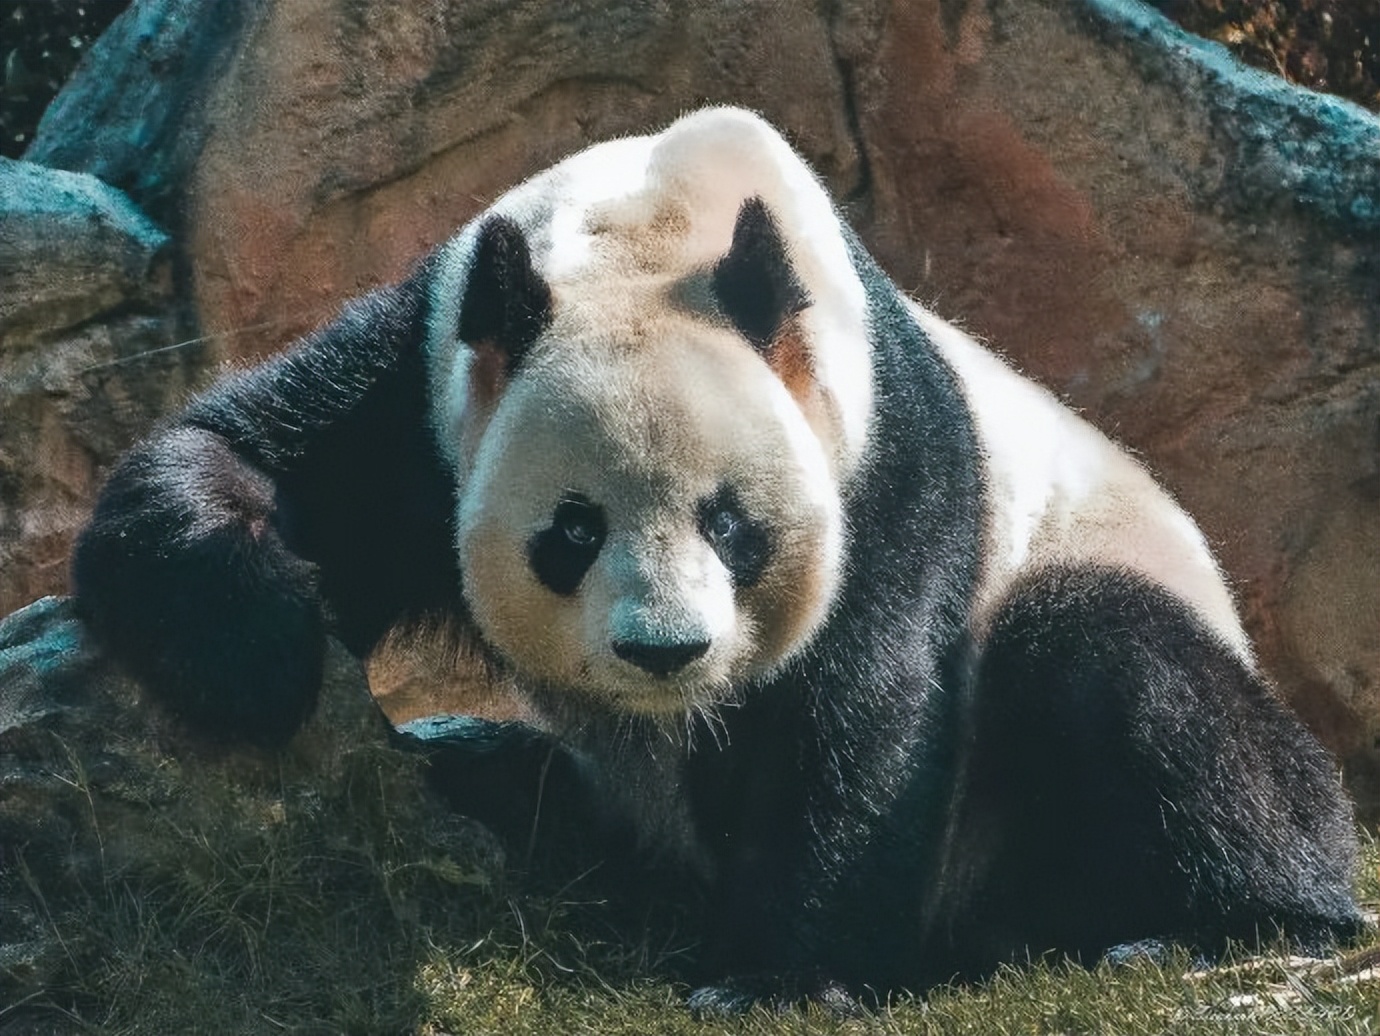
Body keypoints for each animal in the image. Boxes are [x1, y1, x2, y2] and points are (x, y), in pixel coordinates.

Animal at [72, 106, 1363, 1011]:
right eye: (573, 530)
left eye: (730, 525)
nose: (667, 651)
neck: (662, 220)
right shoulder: (427, 389)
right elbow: (248, 451)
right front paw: (247, 652)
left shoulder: (884, 456)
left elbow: (861, 707)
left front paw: (778, 976)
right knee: (510, 782)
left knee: (1130, 673)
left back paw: (1223, 920)